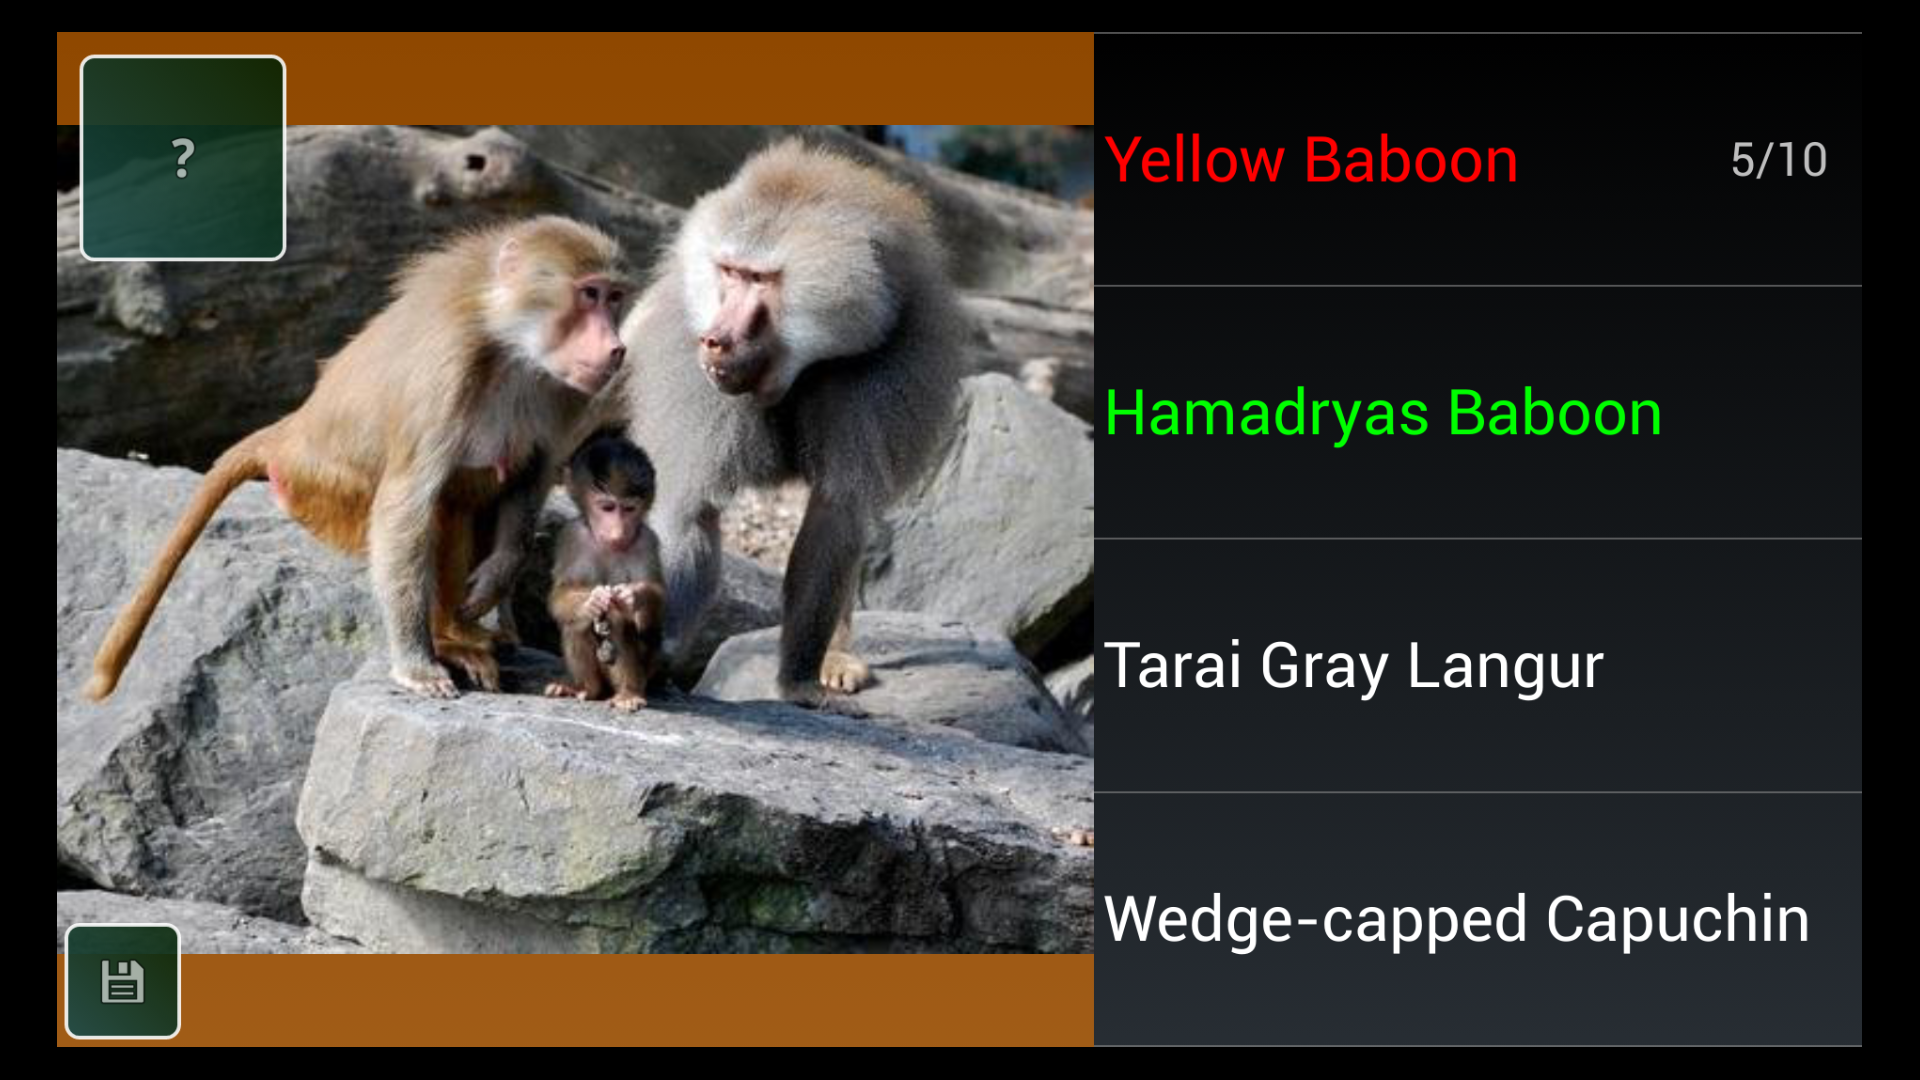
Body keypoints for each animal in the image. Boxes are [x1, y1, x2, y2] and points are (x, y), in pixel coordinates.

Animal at [85, 216, 634, 701]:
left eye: (614, 298)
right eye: (588, 294)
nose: (616, 349)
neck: (508, 343)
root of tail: (293, 429)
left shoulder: (562, 393)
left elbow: (530, 479)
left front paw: (495, 578)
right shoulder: (444, 375)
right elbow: (404, 510)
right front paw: (417, 666)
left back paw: (475, 631)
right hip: (323, 490)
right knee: (440, 505)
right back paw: (451, 640)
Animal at [541, 432, 666, 711]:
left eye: (629, 509)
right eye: (608, 507)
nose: (618, 531)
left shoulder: (646, 541)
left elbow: (657, 595)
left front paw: (634, 595)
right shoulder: (572, 536)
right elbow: (561, 593)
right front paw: (593, 599)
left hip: (649, 668)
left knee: (619, 620)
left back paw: (628, 693)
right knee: (577, 622)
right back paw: (585, 688)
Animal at [621, 140, 963, 713]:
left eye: (761, 279)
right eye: (729, 271)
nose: (715, 341)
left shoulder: (877, 374)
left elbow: (836, 514)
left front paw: (801, 681)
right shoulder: (697, 382)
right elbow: (689, 510)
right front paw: (651, 653)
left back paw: (835, 658)